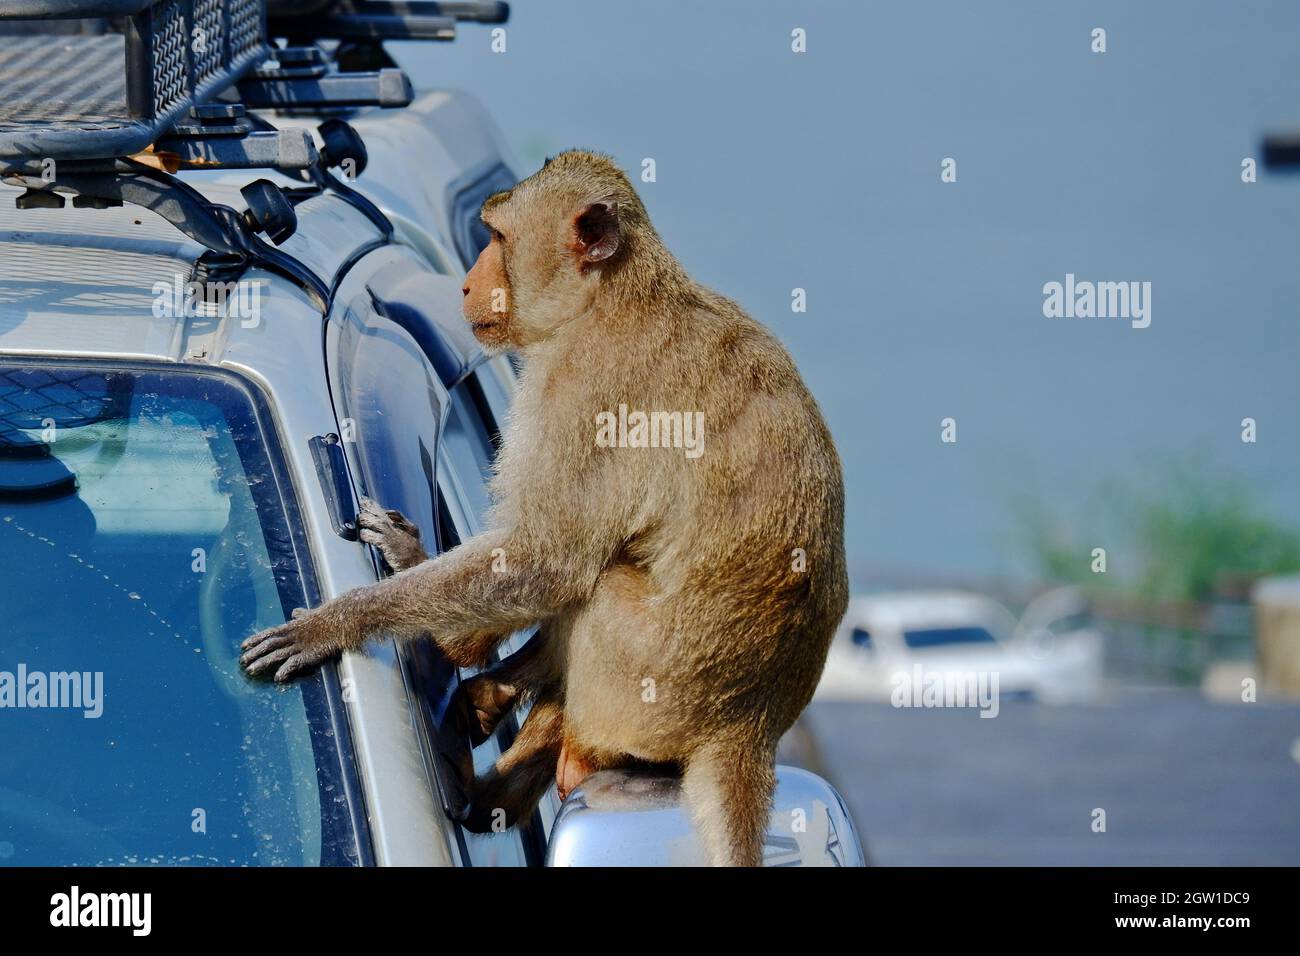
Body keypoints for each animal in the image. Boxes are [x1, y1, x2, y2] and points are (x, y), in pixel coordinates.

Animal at [241, 150, 848, 866]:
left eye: (498, 239)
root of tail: (748, 724)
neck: (613, 295)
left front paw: (335, 625)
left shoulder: (580, 389)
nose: (467, 286)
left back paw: (473, 685)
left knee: (600, 583)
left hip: (647, 685)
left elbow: (546, 559)